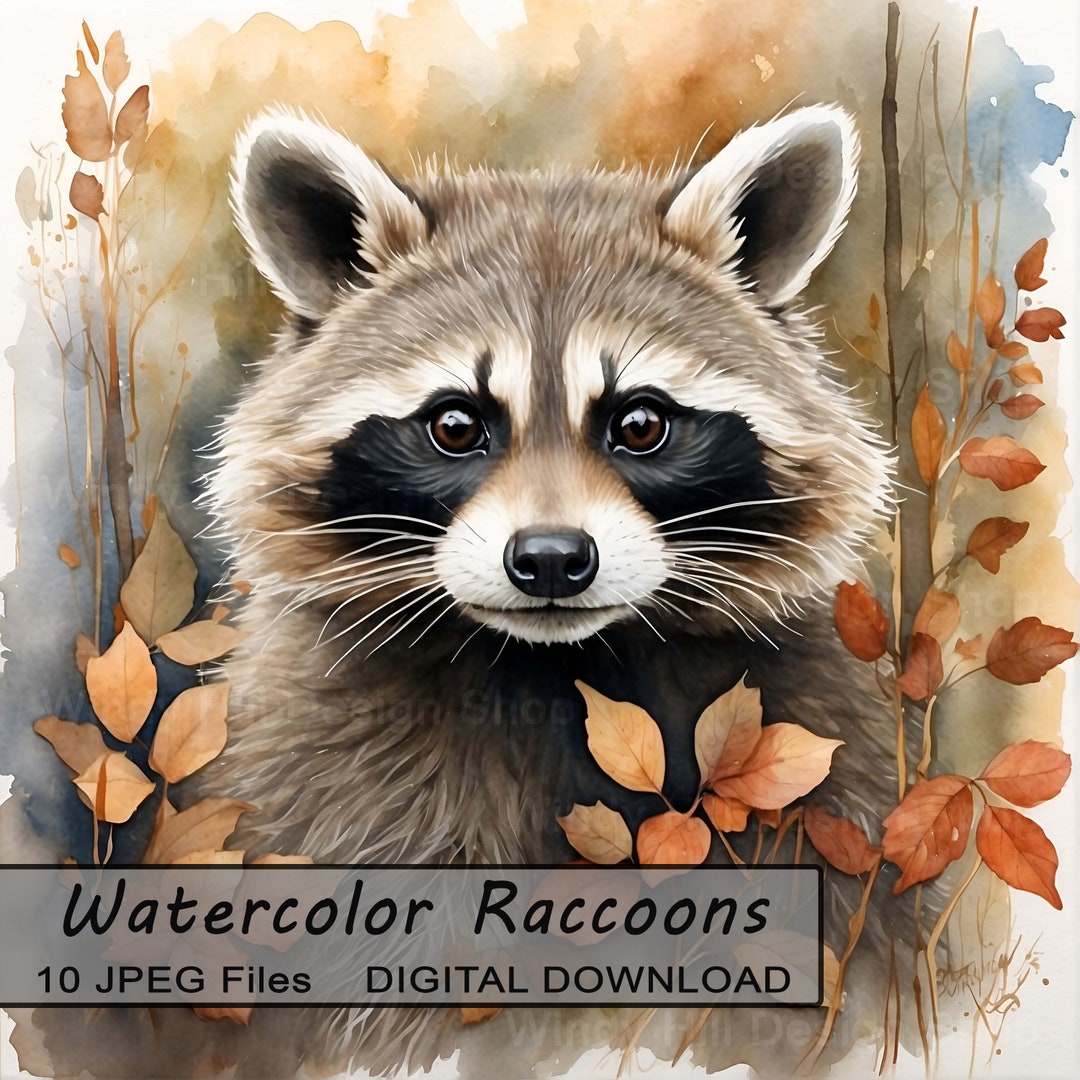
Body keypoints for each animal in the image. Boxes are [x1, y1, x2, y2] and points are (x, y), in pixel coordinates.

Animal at [196, 105, 911, 1074]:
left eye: (640, 423)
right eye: (455, 425)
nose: (548, 560)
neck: (551, 672)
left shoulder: (817, 758)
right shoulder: (325, 779)